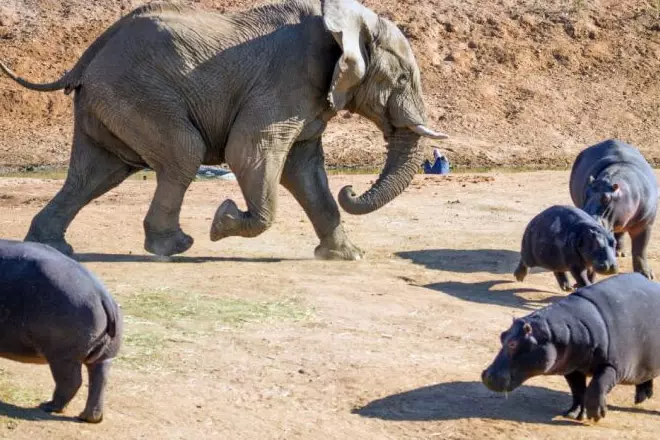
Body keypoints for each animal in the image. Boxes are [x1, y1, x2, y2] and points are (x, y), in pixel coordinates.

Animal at [0, 0, 448, 260]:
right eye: (403, 79)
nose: (351, 189)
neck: (345, 22)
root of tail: (90, 52)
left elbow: (304, 171)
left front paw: (347, 256)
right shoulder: (285, 81)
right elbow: (250, 151)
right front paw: (223, 221)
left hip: (109, 100)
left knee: (97, 173)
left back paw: (52, 247)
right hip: (135, 91)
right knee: (182, 153)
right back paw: (174, 246)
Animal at [0, 241, 122, 422]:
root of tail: (102, 295)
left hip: (62, 356)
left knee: (71, 381)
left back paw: (47, 406)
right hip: (105, 355)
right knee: (100, 379)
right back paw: (89, 417)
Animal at [480, 274, 660, 422]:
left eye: (513, 344)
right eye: (502, 335)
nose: (486, 375)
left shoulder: (613, 365)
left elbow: (597, 386)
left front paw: (596, 415)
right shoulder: (572, 367)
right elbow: (578, 390)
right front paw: (573, 414)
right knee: (645, 375)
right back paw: (641, 397)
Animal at [568, 139, 656, 280]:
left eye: (606, 198)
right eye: (586, 193)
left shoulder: (645, 224)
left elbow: (640, 250)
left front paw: (647, 275)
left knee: (620, 233)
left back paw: (619, 253)